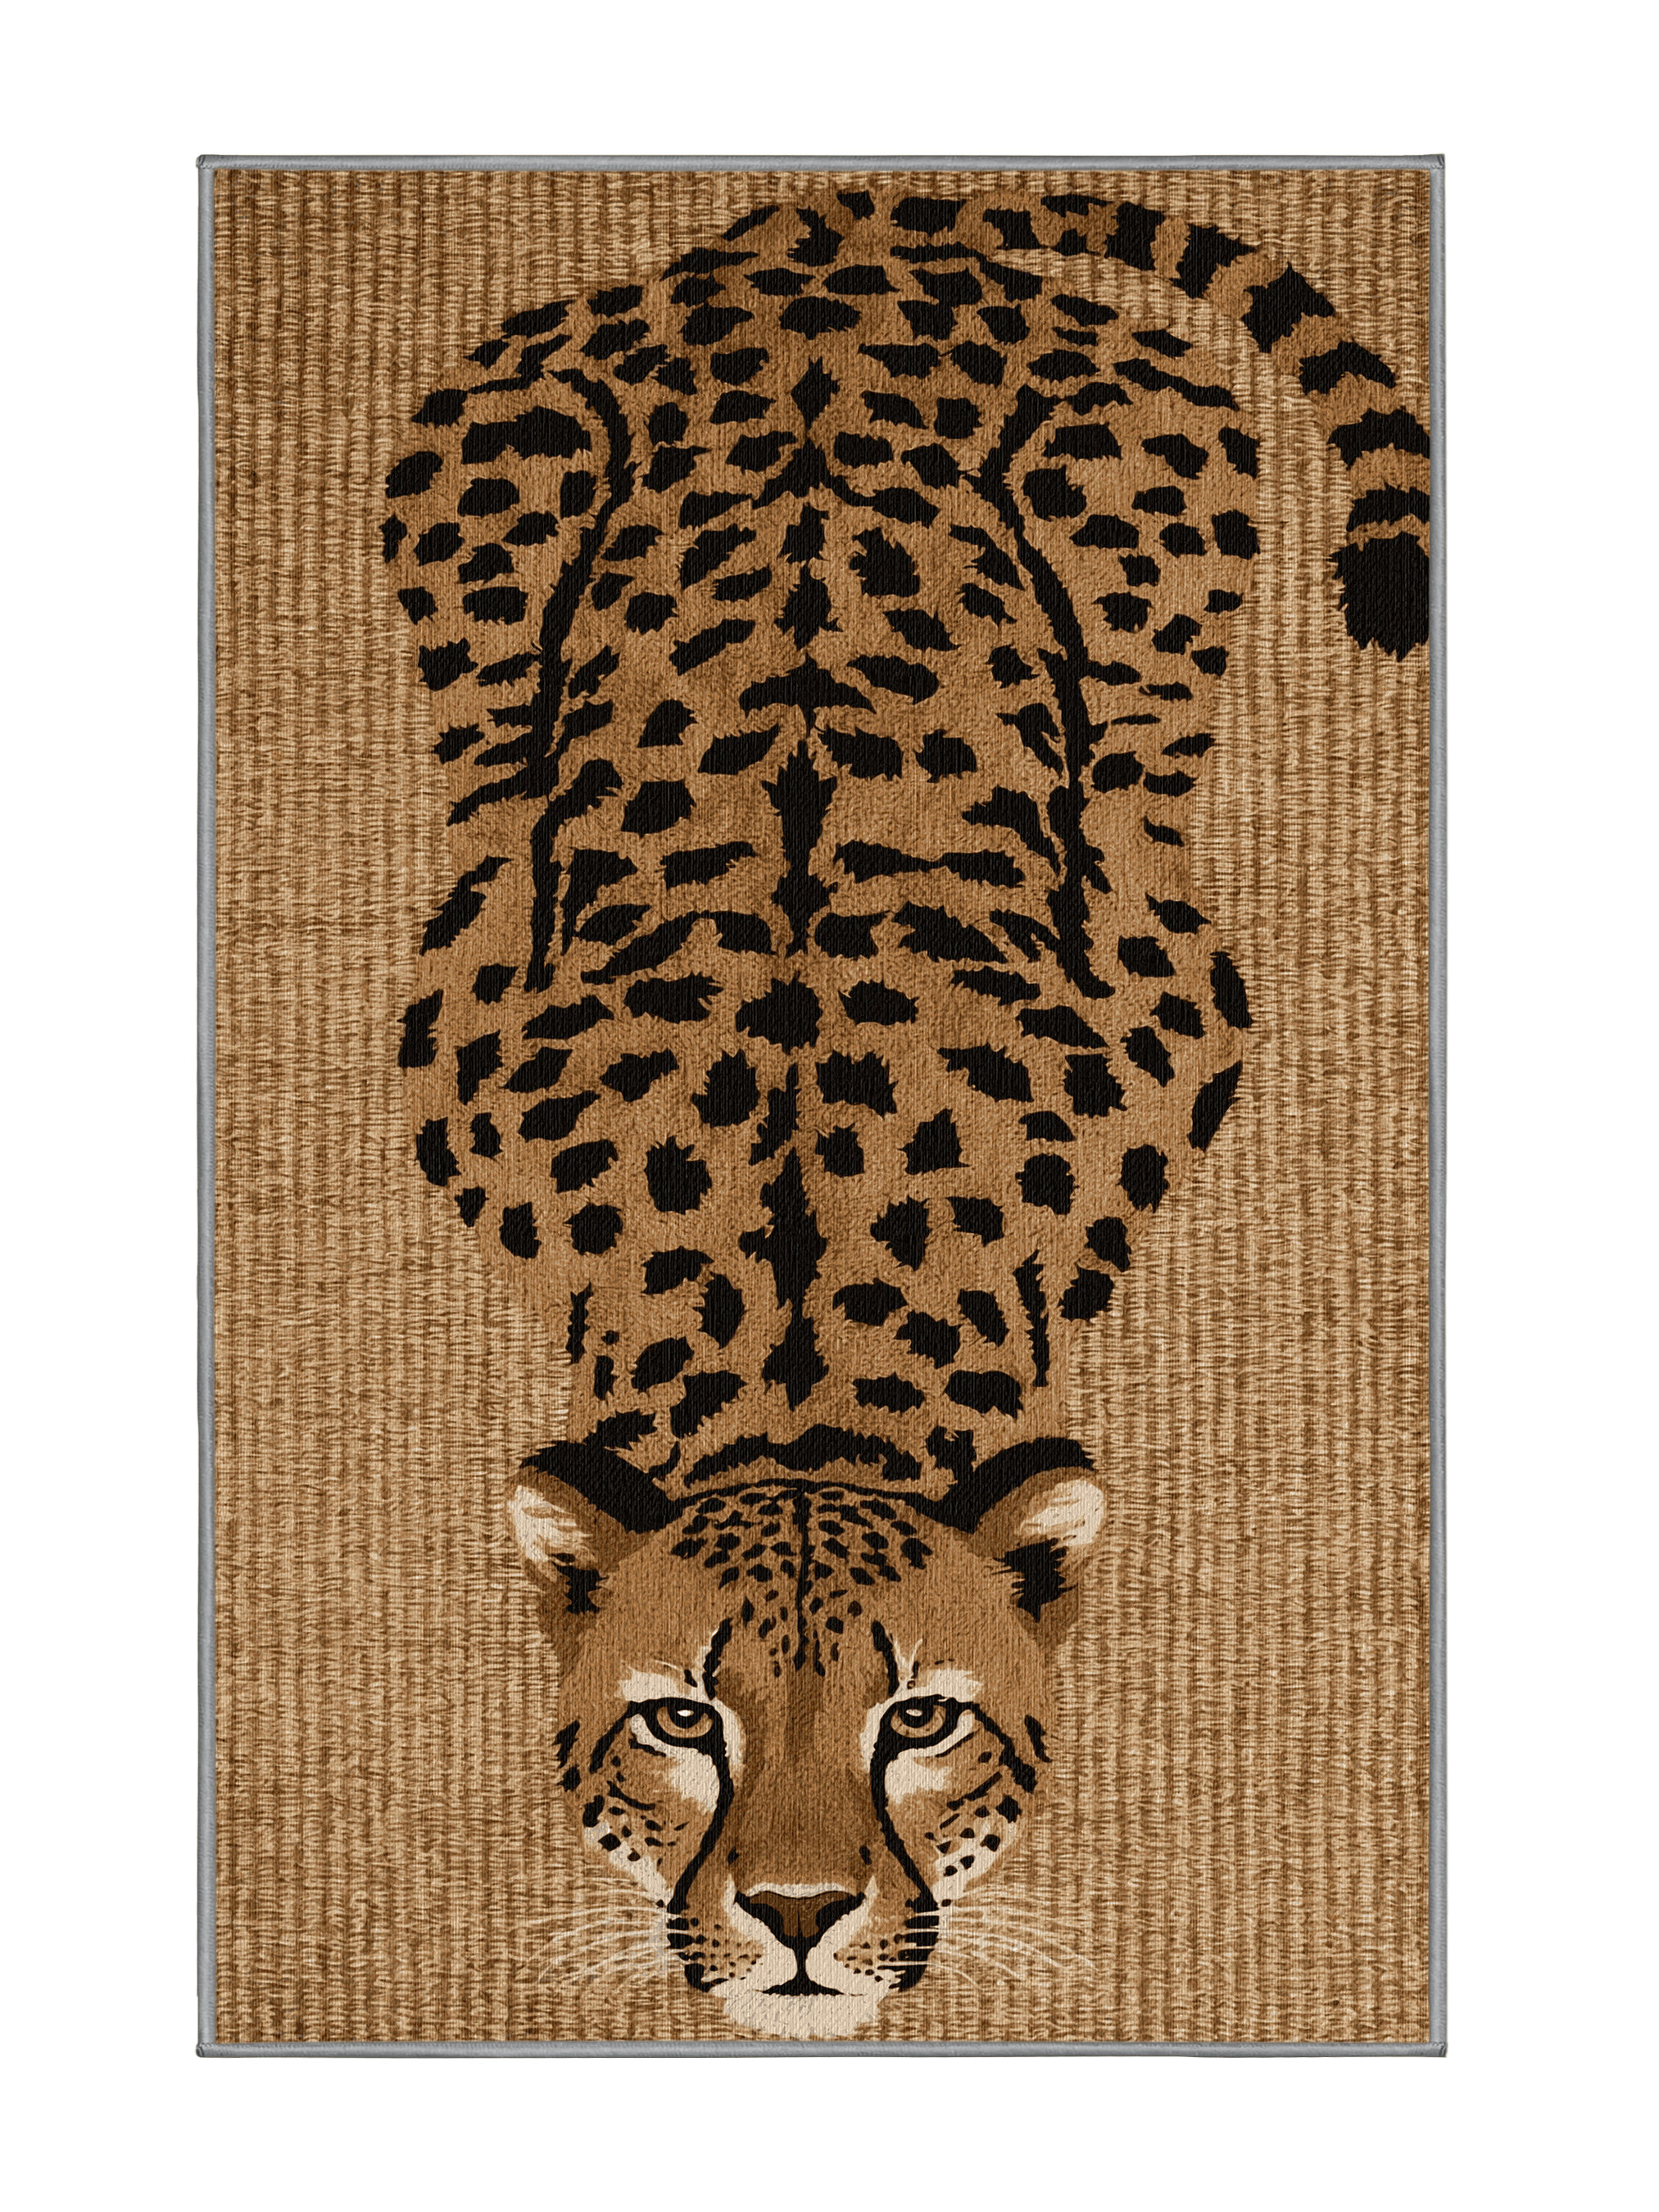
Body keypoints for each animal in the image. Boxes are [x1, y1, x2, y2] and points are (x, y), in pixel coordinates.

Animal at [379, 184, 1429, 2037]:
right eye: (682, 1718)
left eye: (920, 1718)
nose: (799, 1914)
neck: (805, 1366)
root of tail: (810, 235)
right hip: (490, 570)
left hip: (1141, 605)